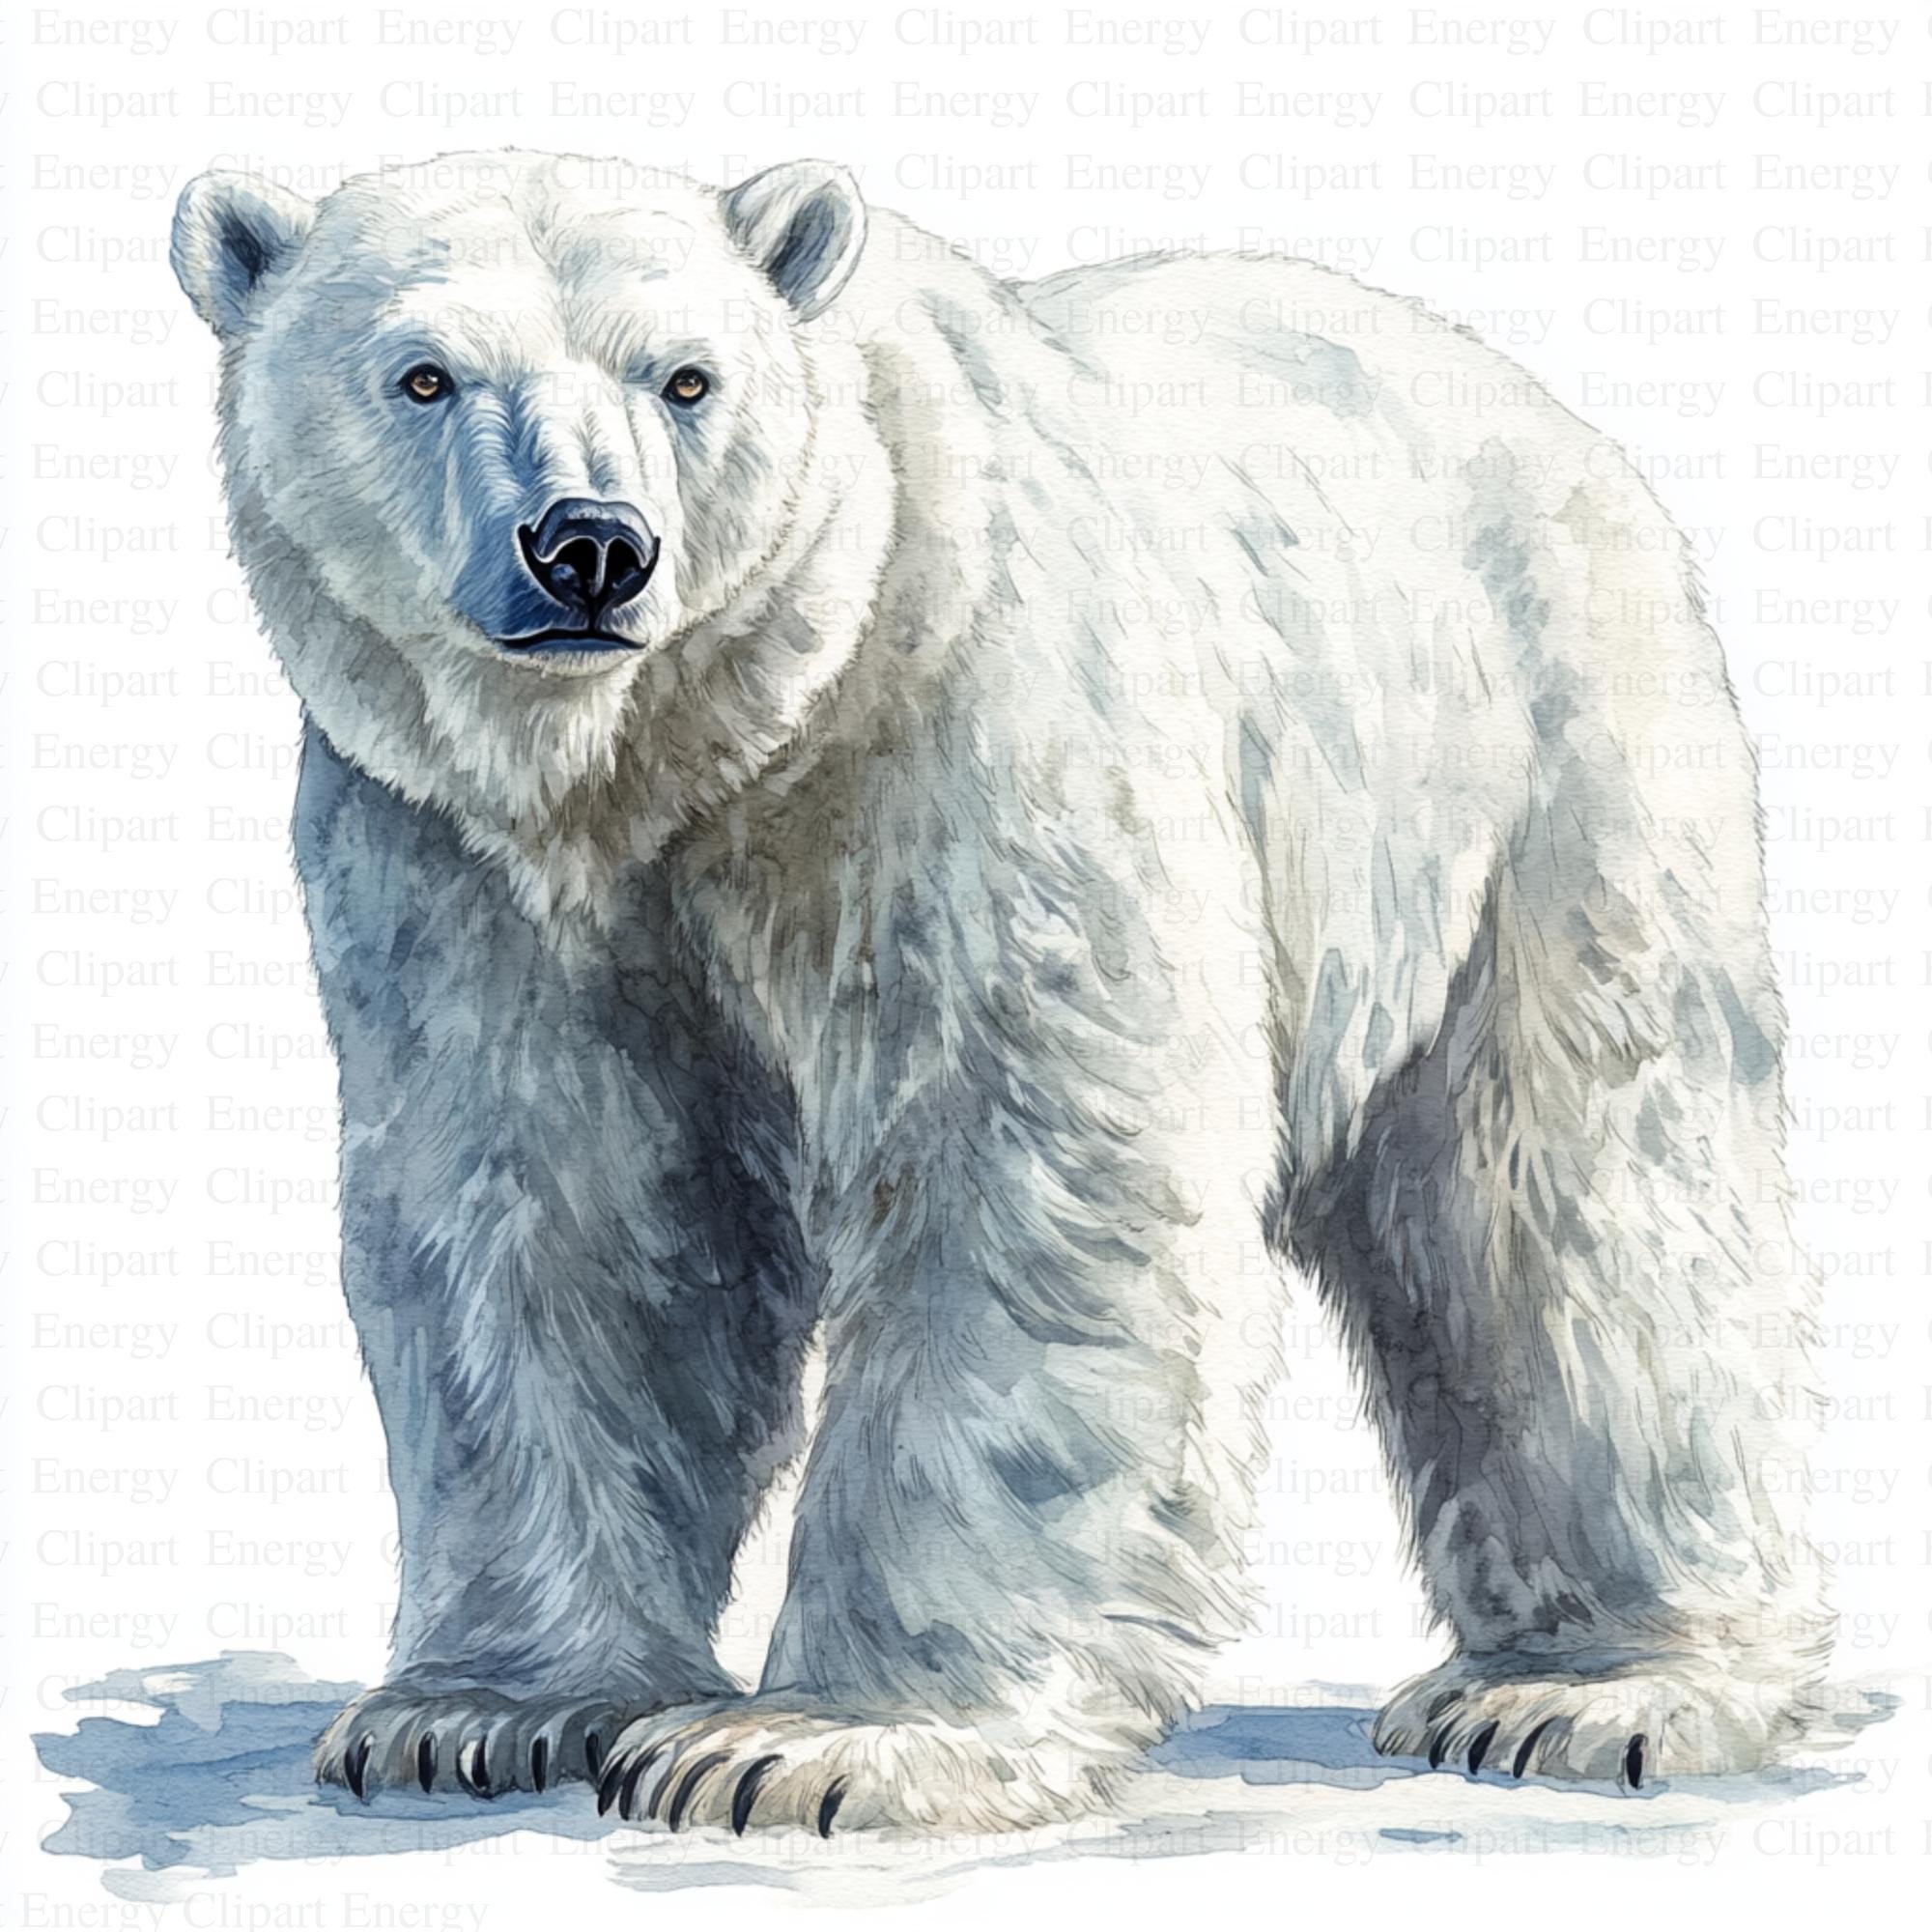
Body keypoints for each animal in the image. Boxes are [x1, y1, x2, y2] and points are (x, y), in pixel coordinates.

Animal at [171, 149, 1831, 1834]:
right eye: (424, 375)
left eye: (686, 378)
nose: (588, 546)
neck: (684, 754)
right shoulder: (464, 865)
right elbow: (558, 1207)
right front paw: (481, 1714)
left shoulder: (961, 726)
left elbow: (1026, 1172)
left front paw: (815, 1743)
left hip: (1531, 770)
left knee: (1570, 1205)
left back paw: (1586, 1690)